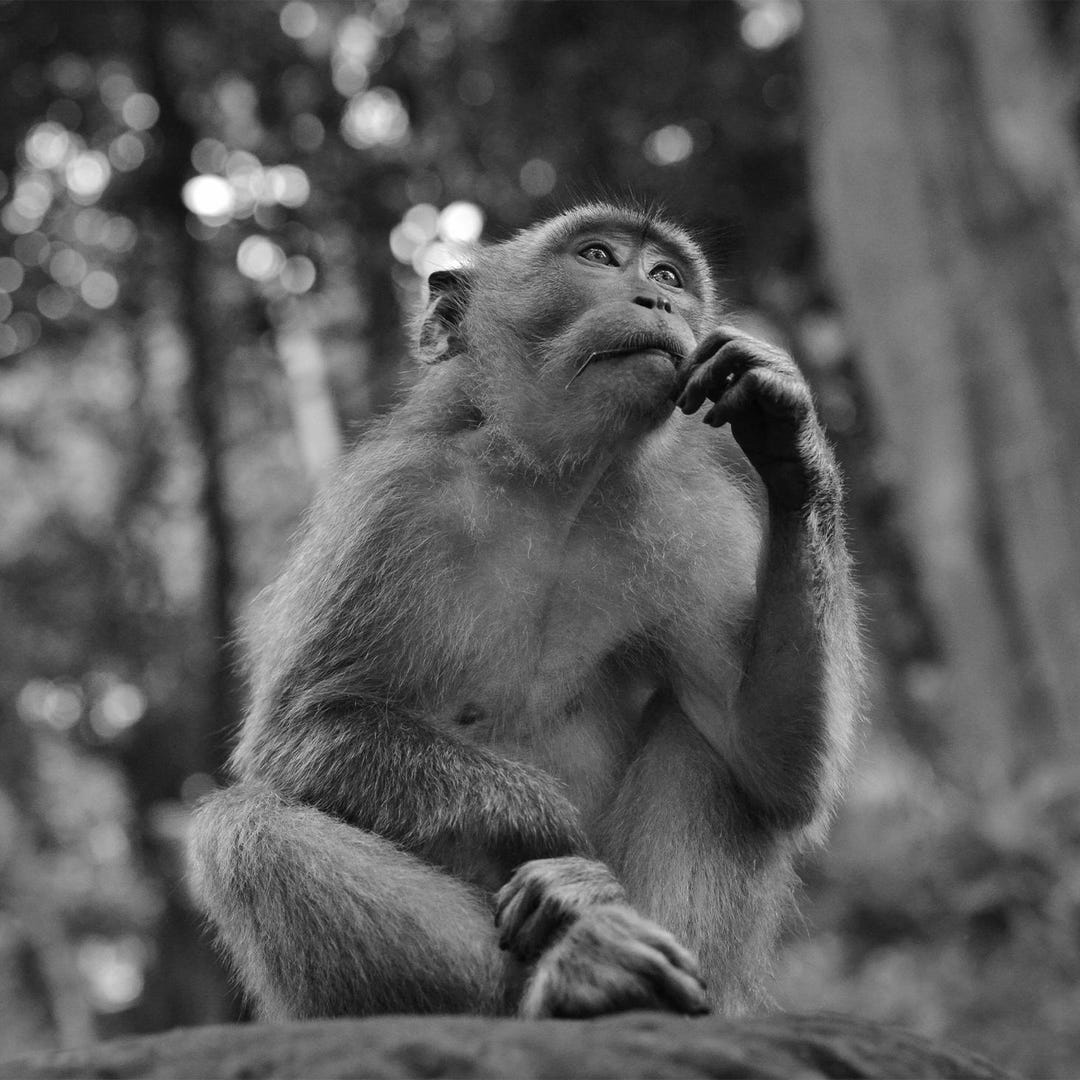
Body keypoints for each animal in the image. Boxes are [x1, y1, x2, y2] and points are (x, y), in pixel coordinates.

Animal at [188, 201, 861, 1021]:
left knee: (711, 744)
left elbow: (772, 761)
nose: (659, 300)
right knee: (243, 830)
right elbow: (300, 729)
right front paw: (559, 842)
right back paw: (580, 969)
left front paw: (786, 429)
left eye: (669, 274)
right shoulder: (390, 503)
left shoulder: (694, 521)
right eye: (599, 257)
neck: (552, 485)